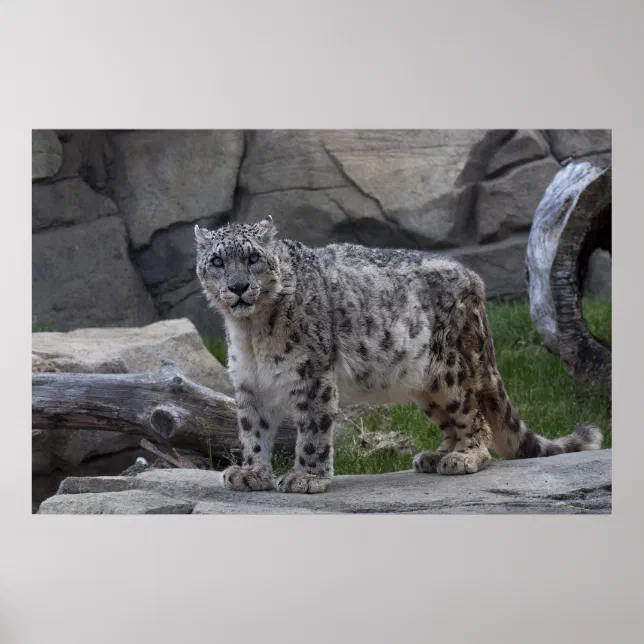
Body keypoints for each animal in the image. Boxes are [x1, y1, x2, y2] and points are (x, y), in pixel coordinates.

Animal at [195, 216, 602, 494]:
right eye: (217, 261)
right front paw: (250, 473)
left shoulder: (314, 375)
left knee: (475, 418)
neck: (251, 334)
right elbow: (252, 430)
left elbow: (312, 429)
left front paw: (306, 477)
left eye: (253, 258)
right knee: (453, 421)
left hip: (452, 370)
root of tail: (474, 280)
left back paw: (463, 457)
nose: (238, 287)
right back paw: (436, 456)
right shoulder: (249, 383)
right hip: (427, 386)